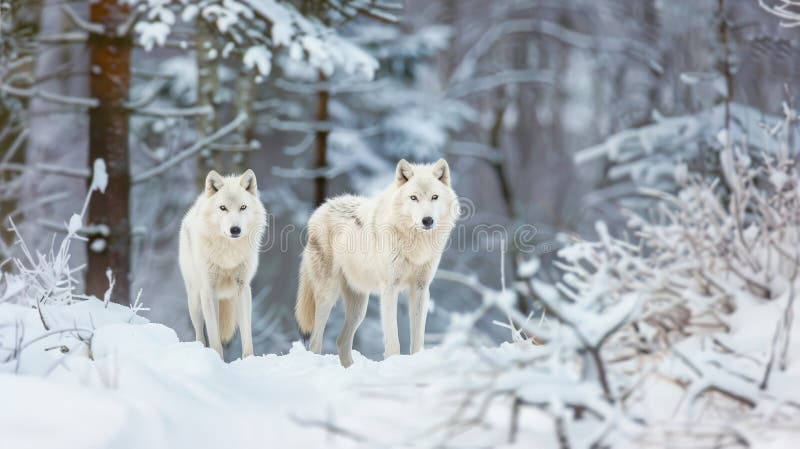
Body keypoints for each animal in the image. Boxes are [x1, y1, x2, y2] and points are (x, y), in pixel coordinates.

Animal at [179, 169, 266, 359]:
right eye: (223, 208)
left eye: (243, 207)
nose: (235, 229)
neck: (228, 251)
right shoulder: (208, 291)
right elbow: (214, 336)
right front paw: (216, 359)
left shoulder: (243, 289)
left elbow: (247, 335)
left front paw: (249, 360)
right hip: (195, 300)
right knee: (200, 333)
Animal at [295, 159, 458, 367]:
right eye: (413, 198)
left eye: (434, 197)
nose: (427, 220)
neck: (415, 243)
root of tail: (320, 210)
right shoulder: (390, 288)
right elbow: (393, 340)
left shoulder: (421, 288)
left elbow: (417, 339)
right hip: (327, 296)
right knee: (315, 341)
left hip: (359, 307)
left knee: (341, 341)